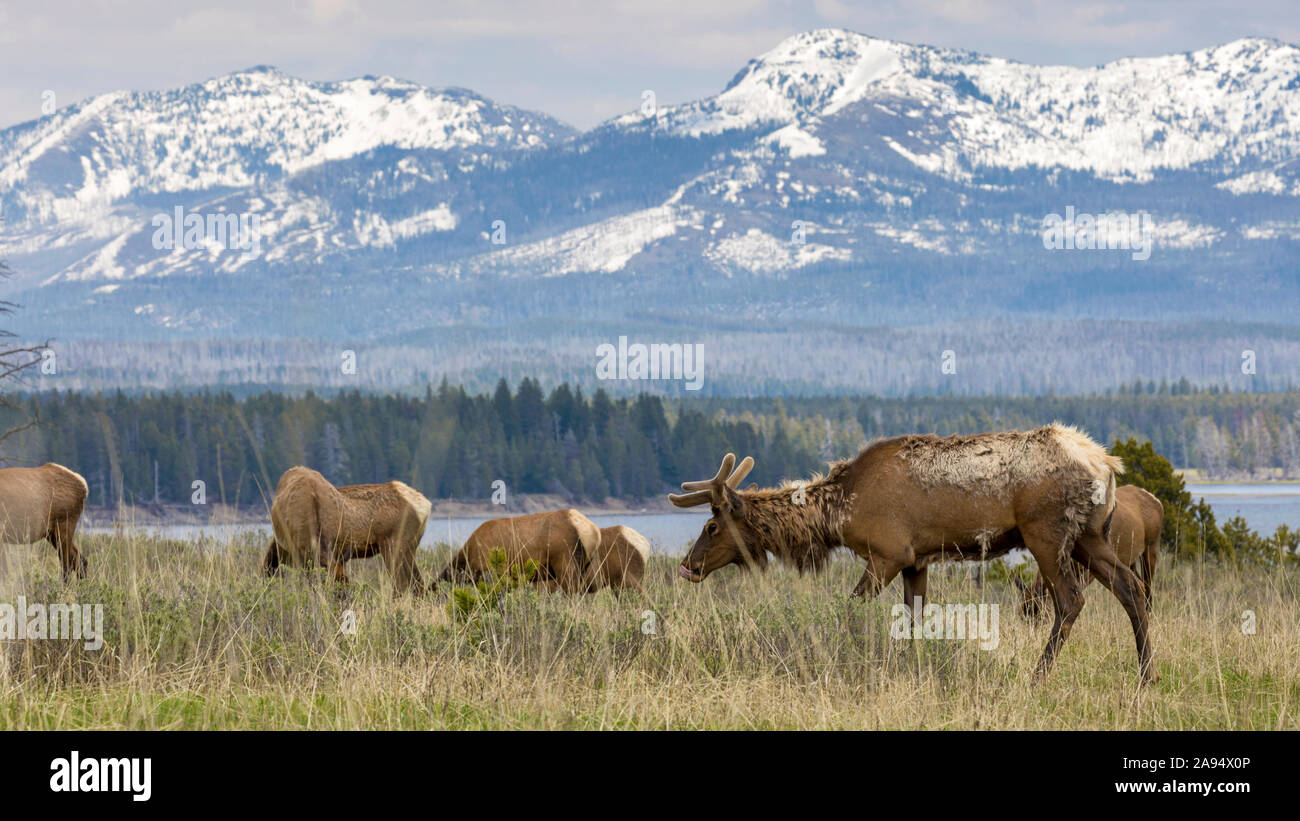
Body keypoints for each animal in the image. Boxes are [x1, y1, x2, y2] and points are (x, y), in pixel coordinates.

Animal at [1016, 483, 1163, 618]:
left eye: (1040, 613)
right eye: (1023, 614)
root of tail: (1156, 500)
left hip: (1151, 547)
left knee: (1148, 586)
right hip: (1130, 561)